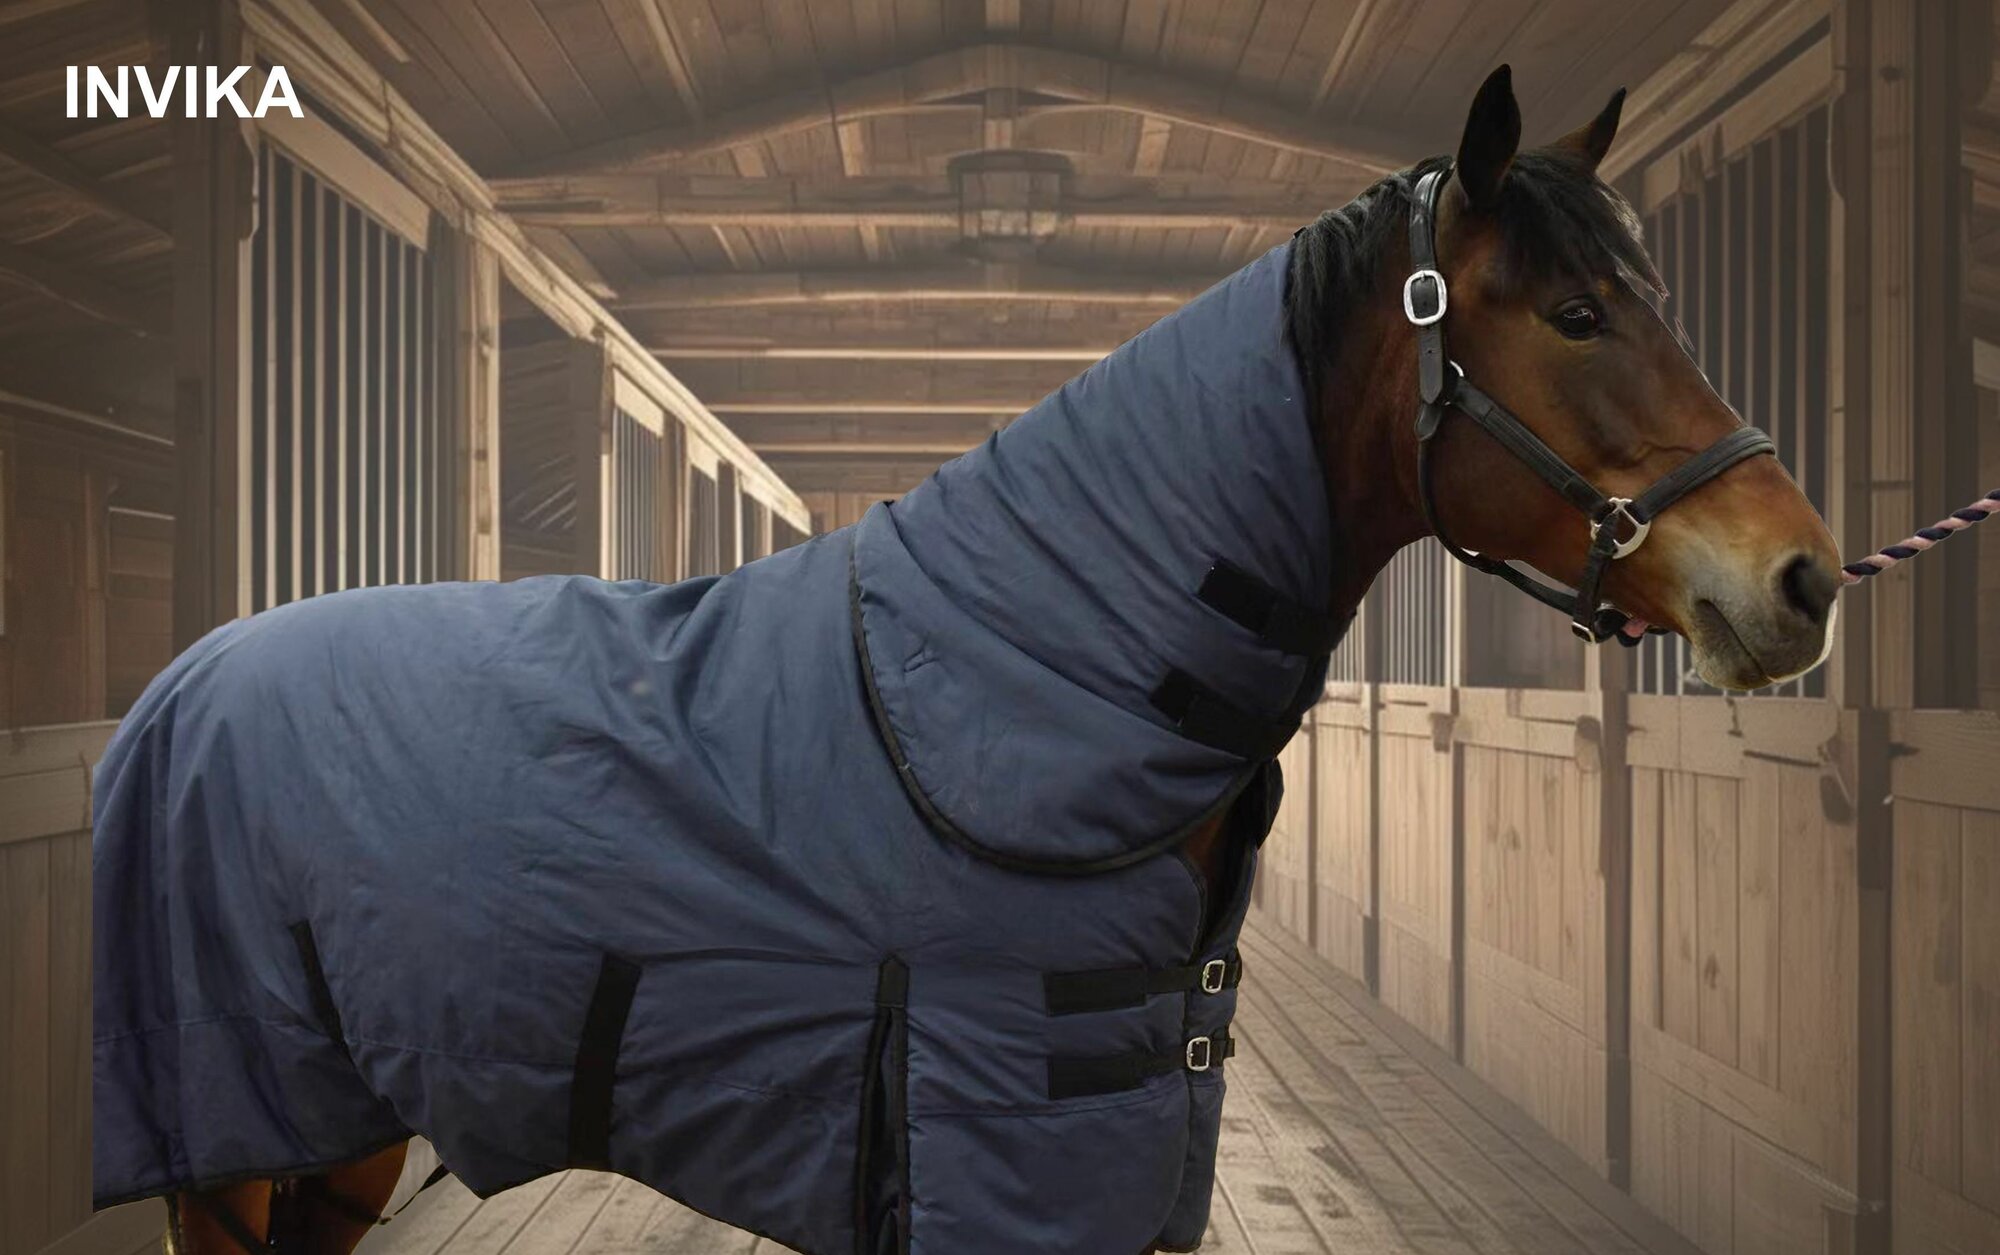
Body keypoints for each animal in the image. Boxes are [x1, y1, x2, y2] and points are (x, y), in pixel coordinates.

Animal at [101, 65, 1839, 1255]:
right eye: (1576, 313)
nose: (1804, 576)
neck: (1027, 672)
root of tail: (180, 679)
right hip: (235, 1151)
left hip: (339, 1145)